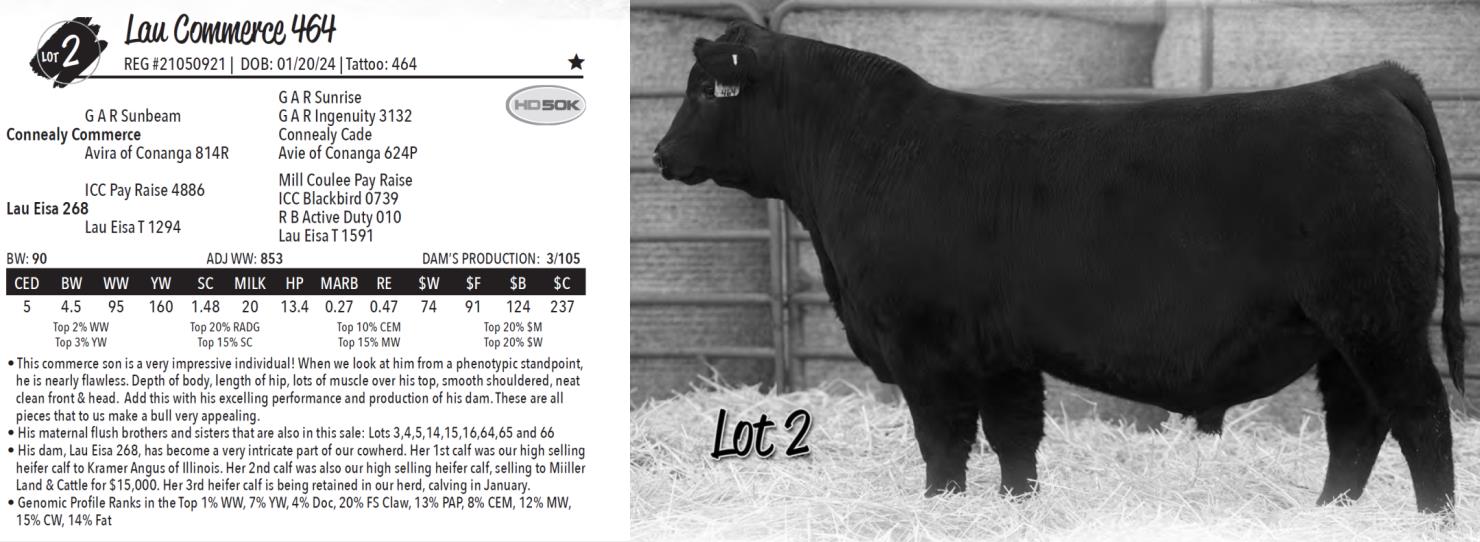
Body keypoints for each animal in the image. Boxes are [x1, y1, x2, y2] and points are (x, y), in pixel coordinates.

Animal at [652, 21, 1463, 515]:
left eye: (708, 91)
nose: (660, 154)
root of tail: (1368, 79)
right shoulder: (1004, 350)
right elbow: (1016, 439)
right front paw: (1015, 509)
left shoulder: (923, 345)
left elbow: (943, 439)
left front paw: (940, 507)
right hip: (1342, 334)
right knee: (1356, 423)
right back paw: (1331, 513)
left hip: (1378, 319)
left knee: (1420, 415)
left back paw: (1434, 517)